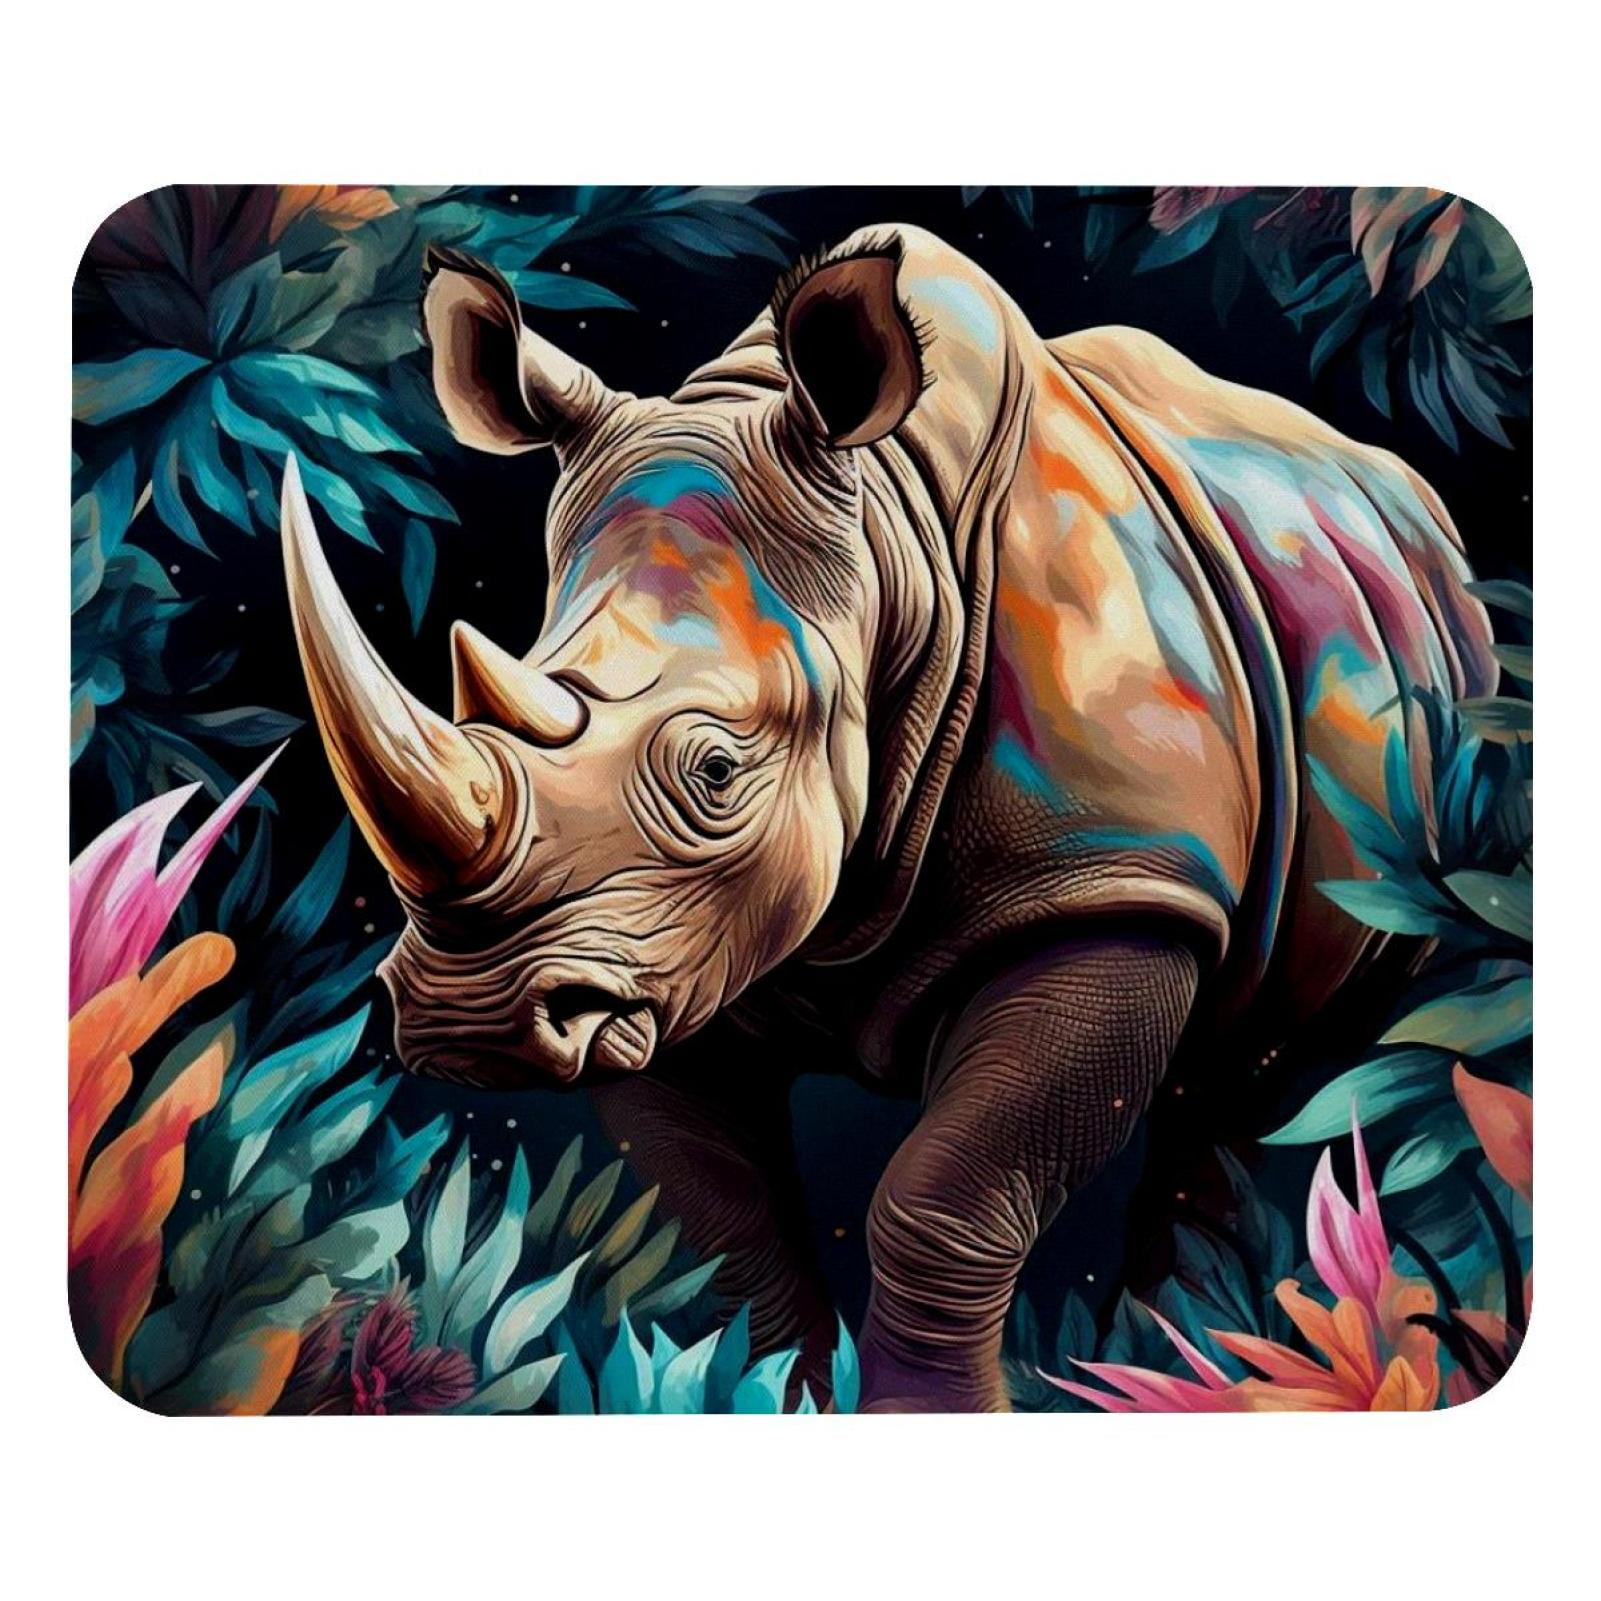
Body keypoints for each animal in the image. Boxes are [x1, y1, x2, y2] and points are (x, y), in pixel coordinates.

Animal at [280, 223, 1495, 1411]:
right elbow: (724, 1231)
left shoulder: (1114, 881)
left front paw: (926, 1409)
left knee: (1267, 1071)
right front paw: (767, 1392)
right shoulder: (661, 946)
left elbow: (948, 1196)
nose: (468, 1021)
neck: (891, 551)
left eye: (716, 770)